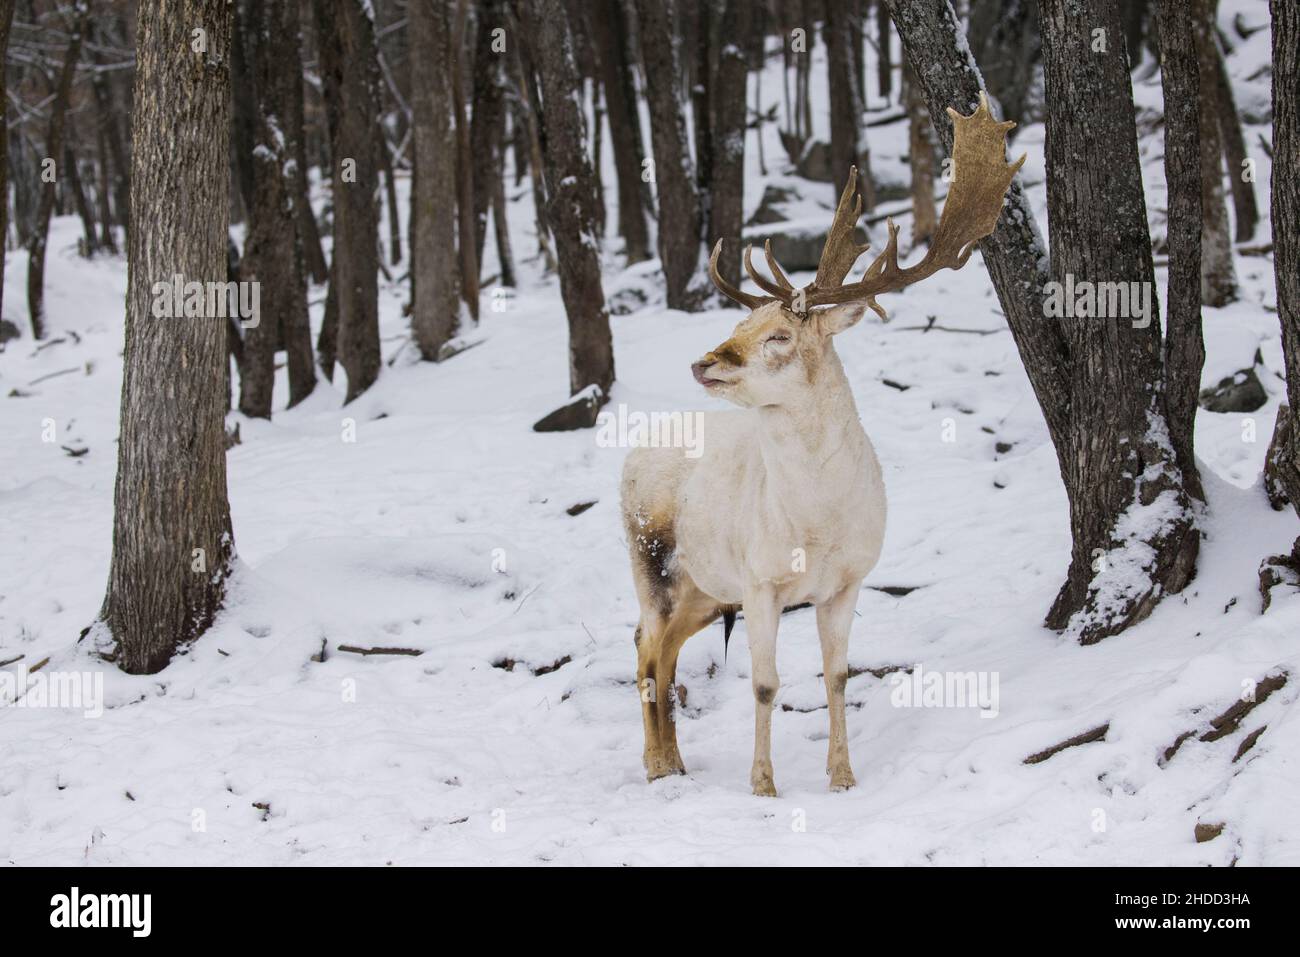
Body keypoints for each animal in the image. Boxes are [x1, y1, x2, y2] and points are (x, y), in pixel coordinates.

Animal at [619, 95, 1025, 796]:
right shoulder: (760, 582)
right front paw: (763, 784)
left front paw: (842, 776)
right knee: (645, 645)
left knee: (664, 651)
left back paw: (675, 761)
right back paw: (656, 767)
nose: (704, 361)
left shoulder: (848, 582)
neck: (818, 524)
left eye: (780, 335)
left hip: (704, 588)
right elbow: (763, 684)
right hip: (651, 560)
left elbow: (836, 675)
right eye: (741, 321)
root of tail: (630, 452)